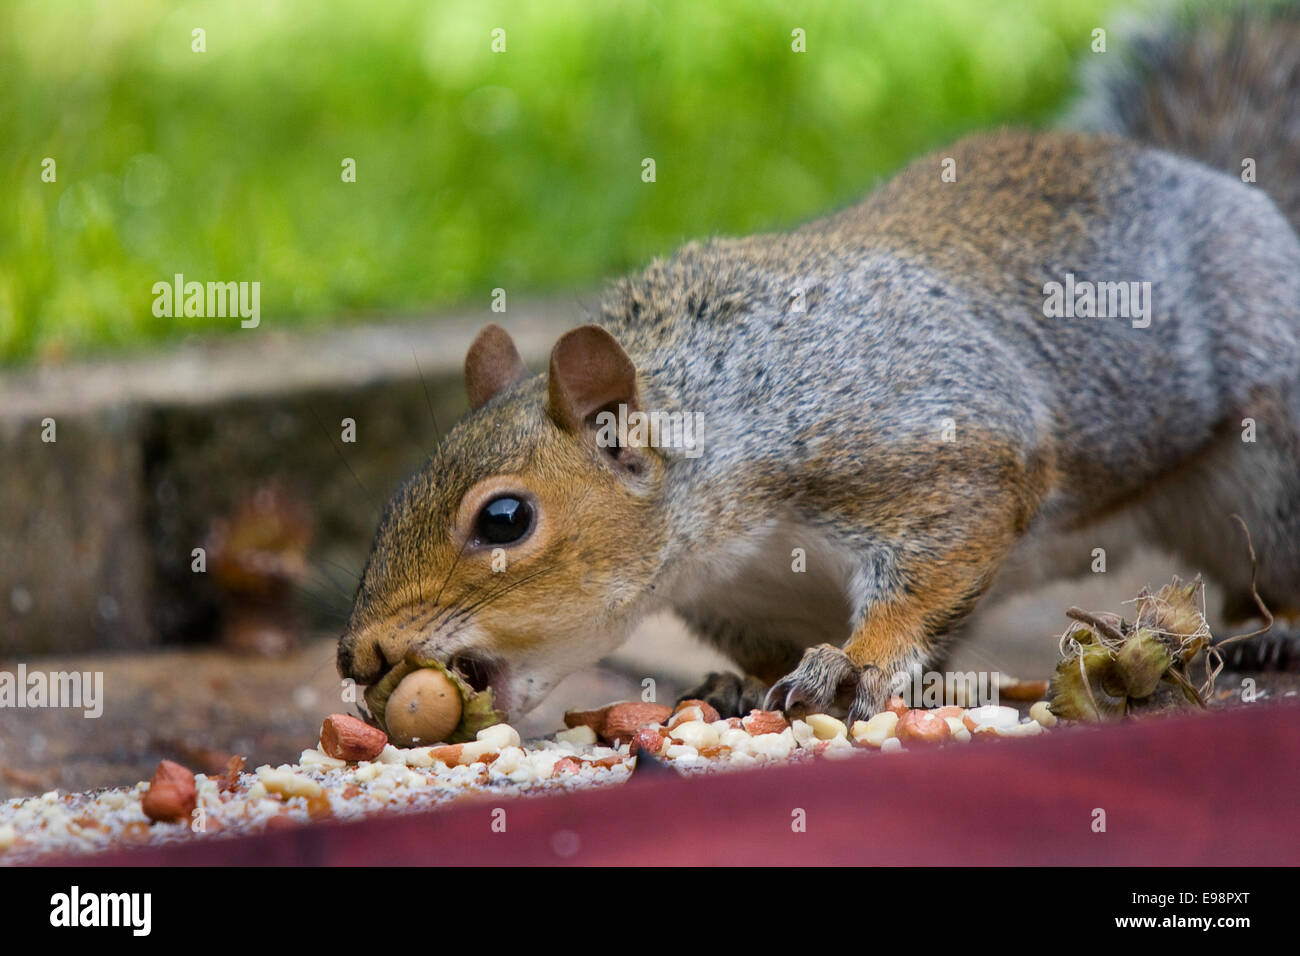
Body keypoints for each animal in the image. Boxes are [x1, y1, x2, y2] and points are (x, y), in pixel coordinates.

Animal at [338, 2, 1300, 725]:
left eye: (505, 519)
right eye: (394, 500)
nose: (359, 655)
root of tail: (1227, 186)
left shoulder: (940, 449)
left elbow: (931, 574)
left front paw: (853, 664)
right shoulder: (747, 601)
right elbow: (780, 651)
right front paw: (741, 686)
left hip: (1268, 464)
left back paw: (1277, 627)